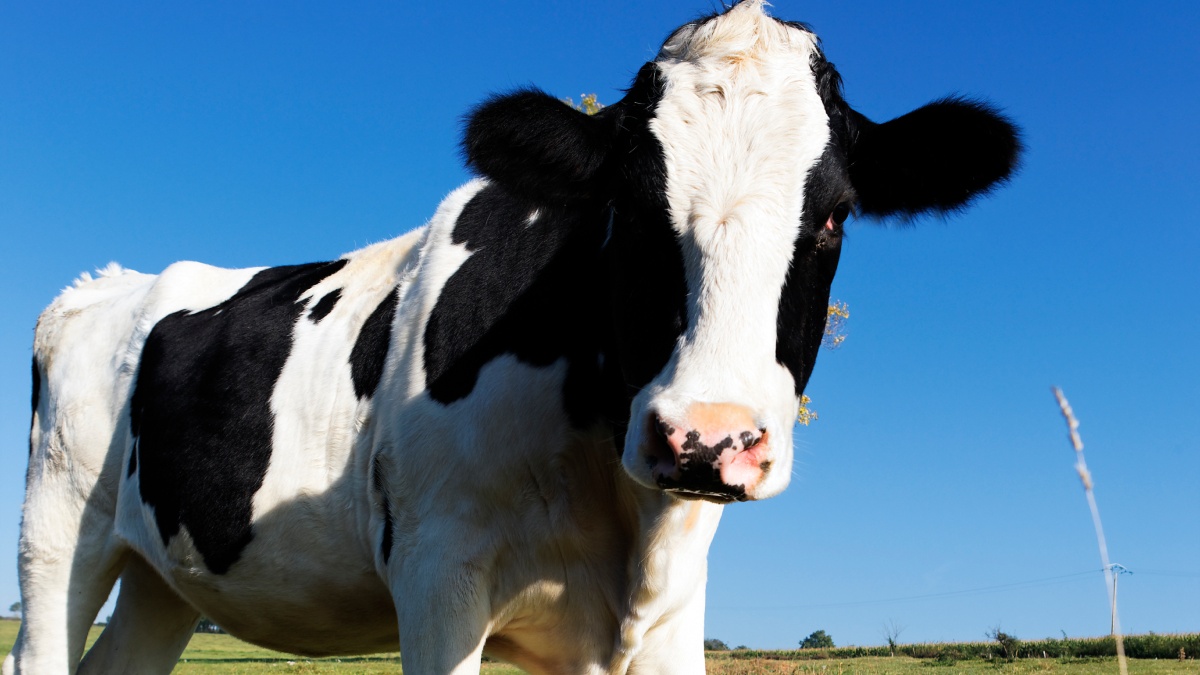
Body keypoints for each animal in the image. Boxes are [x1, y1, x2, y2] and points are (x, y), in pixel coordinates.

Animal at [5, 2, 1020, 673]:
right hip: (56, 535)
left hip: (161, 577)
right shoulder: (438, 581)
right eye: (626, 205)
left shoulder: (668, 617)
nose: (708, 438)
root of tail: (105, 284)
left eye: (835, 215)